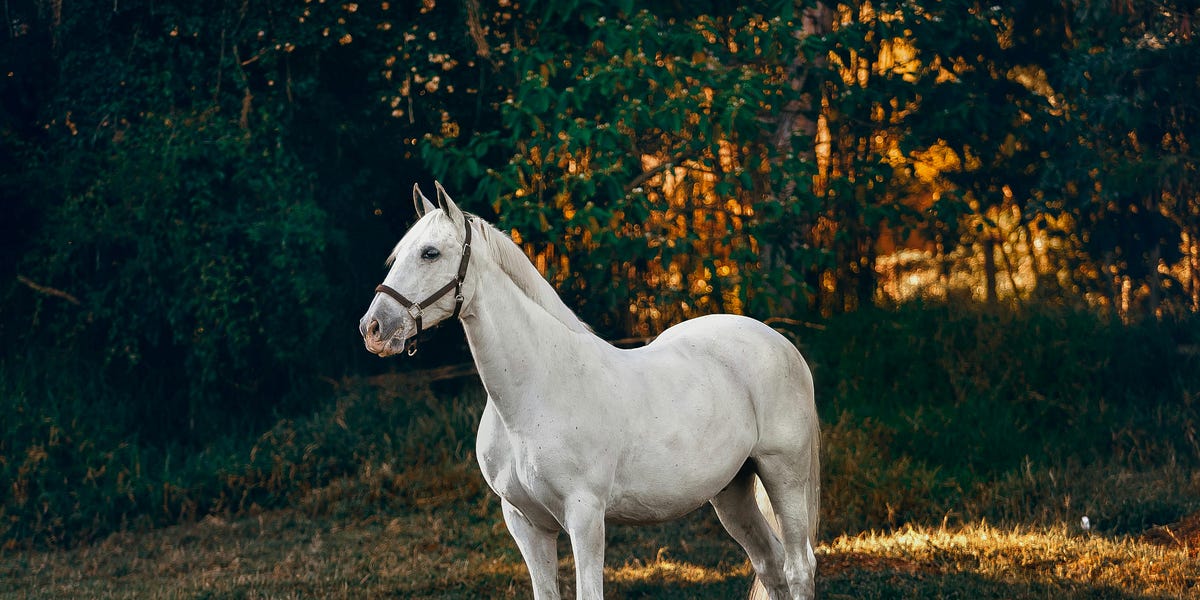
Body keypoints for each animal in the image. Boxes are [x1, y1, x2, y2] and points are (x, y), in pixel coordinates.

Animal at [359, 182, 820, 600]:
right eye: (398, 255)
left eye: (430, 253)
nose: (374, 328)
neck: (535, 393)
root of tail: (781, 343)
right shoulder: (525, 522)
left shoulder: (584, 516)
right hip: (731, 491)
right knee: (770, 565)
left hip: (783, 474)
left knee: (798, 567)